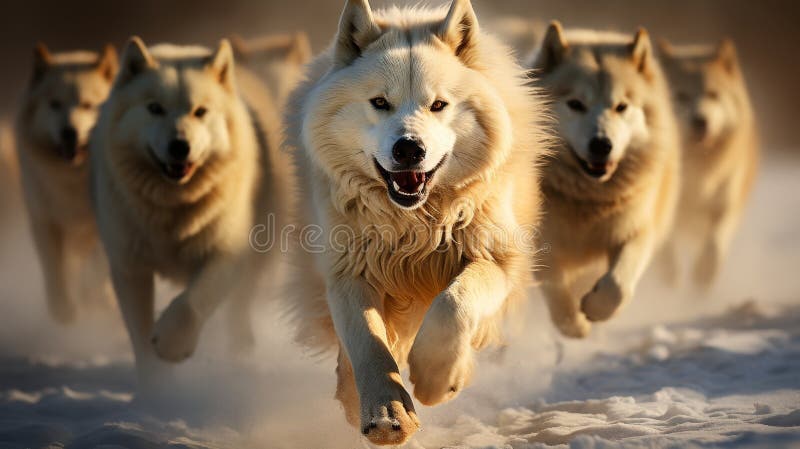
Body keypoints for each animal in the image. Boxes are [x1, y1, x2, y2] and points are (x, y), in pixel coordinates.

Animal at [15, 43, 118, 324]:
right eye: (55, 104)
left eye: (88, 105)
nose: (69, 132)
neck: (73, 180)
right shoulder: (45, 222)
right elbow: (55, 271)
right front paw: (63, 310)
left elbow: (97, 265)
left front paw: (94, 295)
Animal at [90, 37, 290, 390]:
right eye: (155, 108)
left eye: (200, 111)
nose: (179, 146)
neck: (173, 208)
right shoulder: (130, 267)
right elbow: (141, 336)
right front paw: (156, 389)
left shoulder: (226, 254)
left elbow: (191, 303)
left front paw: (172, 344)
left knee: (239, 307)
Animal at [283, 0, 546, 444]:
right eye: (379, 102)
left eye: (438, 105)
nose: (409, 149)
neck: (413, 226)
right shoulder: (348, 272)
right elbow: (367, 343)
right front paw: (386, 414)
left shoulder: (496, 261)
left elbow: (454, 303)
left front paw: (435, 379)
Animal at [530, 22, 680, 338]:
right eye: (576, 104)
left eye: (621, 106)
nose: (601, 145)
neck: (589, 198)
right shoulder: (540, 240)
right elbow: (554, 284)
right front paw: (574, 324)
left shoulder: (635, 229)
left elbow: (618, 285)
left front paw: (596, 307)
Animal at [658, 38, 759, 288]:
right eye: (682, 96)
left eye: (713, 94)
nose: (700, 120)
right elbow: (666, 246)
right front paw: (669, 274)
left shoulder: (725, 205)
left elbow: (715, 242)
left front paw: (704, 274)